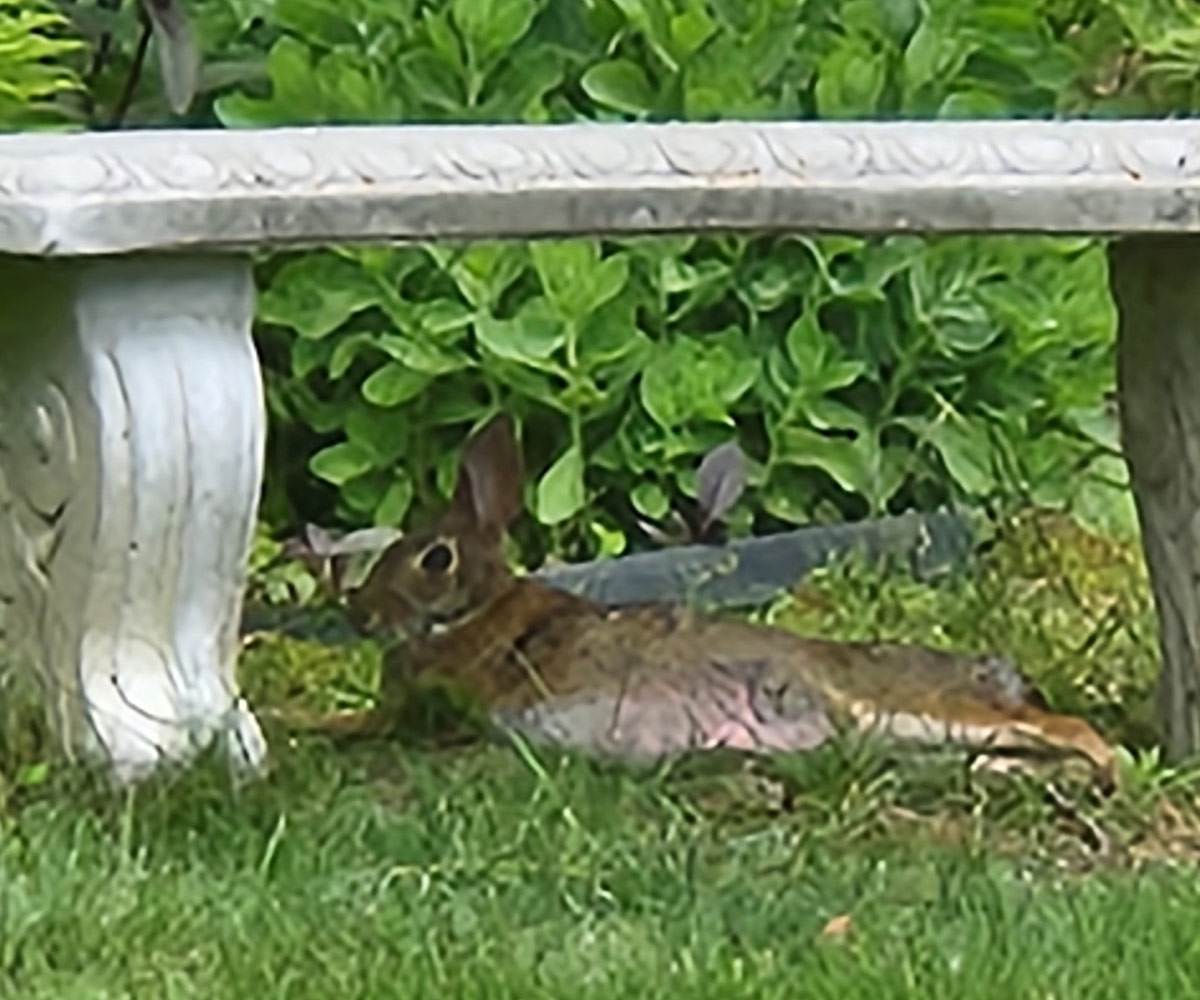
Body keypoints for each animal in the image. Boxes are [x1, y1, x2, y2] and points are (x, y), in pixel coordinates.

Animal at [309, 414, 1115, 781]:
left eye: (433, 558)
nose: (359, 613)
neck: (473, 610)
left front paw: (305, 724)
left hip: (901, 702)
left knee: (1056, 725)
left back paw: (1101, 760)